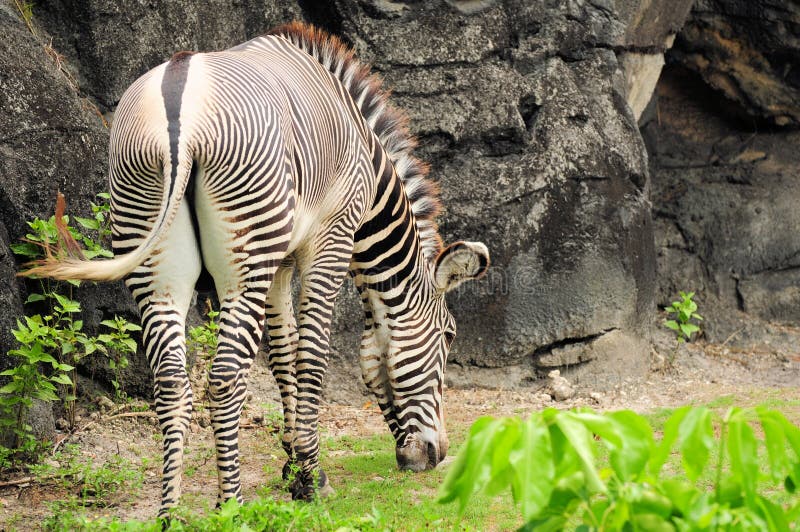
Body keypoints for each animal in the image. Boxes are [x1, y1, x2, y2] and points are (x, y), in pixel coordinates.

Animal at [23, 22, 490, 516]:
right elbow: (310, 355)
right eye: (449, 336)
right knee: (226, 377)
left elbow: (282, 352)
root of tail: (181, 102)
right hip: (244, 261)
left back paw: (169, 512)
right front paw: (310, 478)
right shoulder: (330, 238)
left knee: (171, 382)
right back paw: (231, 504)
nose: (435, 456)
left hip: (154, 253)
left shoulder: (279, 262)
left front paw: (294, 461)